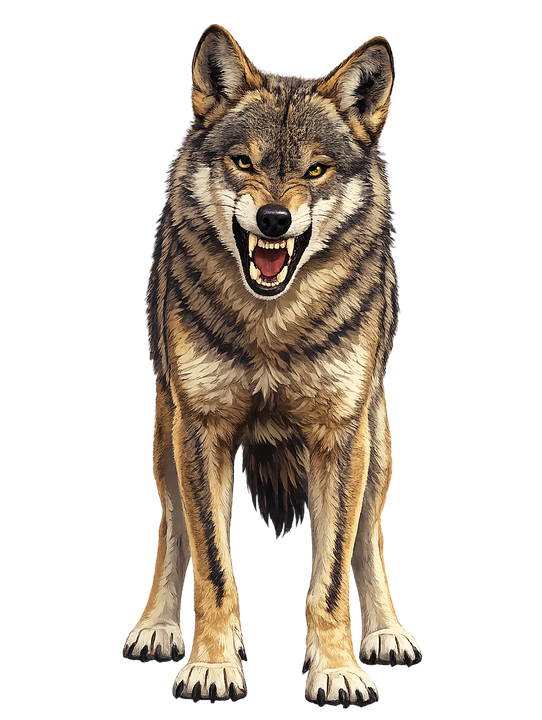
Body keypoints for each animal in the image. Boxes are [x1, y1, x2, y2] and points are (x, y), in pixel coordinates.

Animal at [123, 23, 422, 707]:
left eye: (315, 169)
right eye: (244, 162)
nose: (274, 219)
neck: (272, 327)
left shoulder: (340, 439)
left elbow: (332, 575)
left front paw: (338, 670)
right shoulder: (200, 430)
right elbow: (212, 567)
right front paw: (211, 666)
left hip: (376, 441)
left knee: (370, 541)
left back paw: (387, 634)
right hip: (165, 437)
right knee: (172, 532)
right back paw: (155, 627)